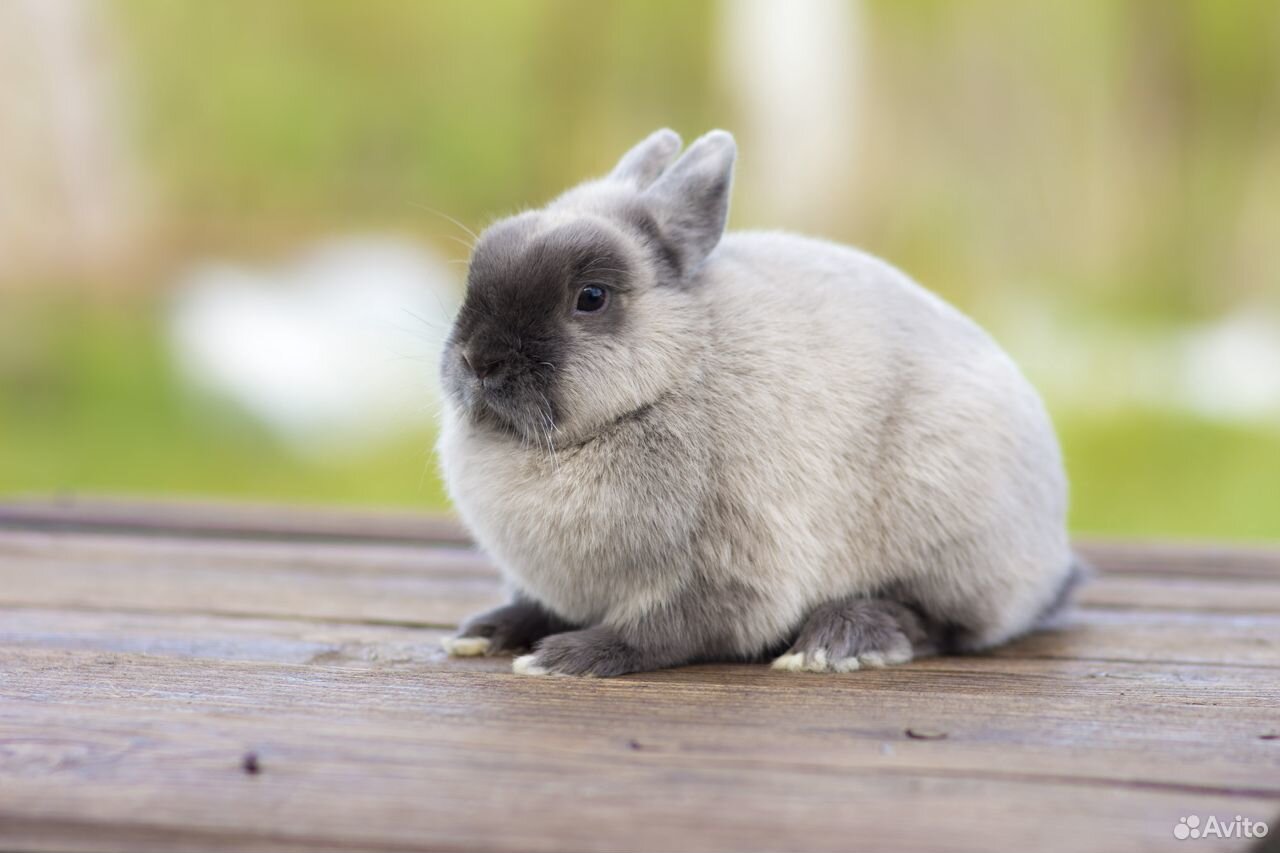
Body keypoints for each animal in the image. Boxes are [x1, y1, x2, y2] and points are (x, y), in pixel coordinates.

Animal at [437, 128, 1080, 676]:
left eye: (591, 297)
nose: (479, 360)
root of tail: (1051, 551)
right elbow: (541, 605)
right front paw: (486, 631)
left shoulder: (727, 571)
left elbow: (661, 631)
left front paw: (569, 658)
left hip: (946, 530)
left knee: (939, 624)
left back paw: (837, 643)